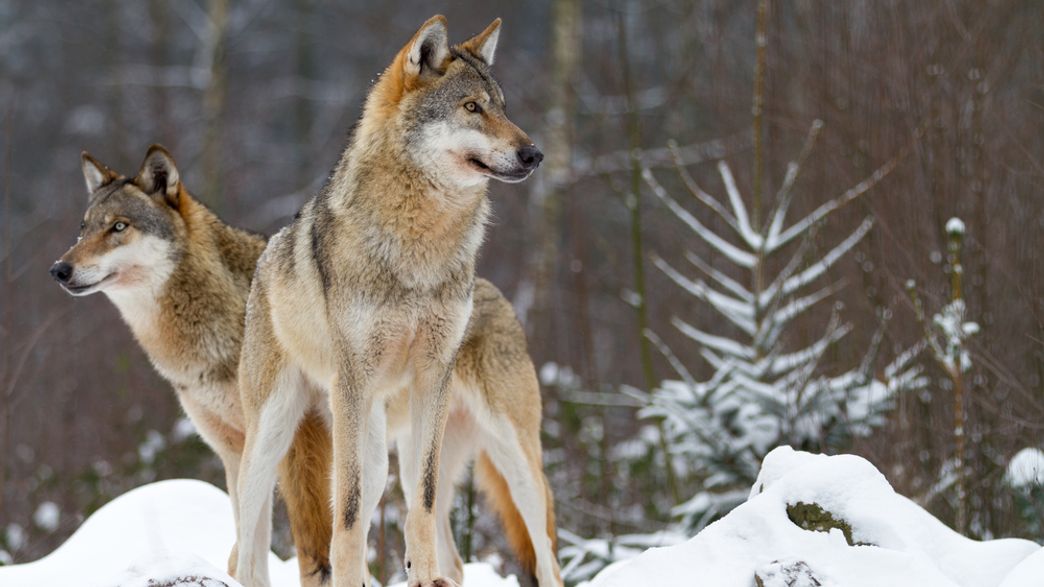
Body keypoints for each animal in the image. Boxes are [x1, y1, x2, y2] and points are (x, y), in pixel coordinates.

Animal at [49, 146, 335, 585]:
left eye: (119, 227)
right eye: (83, 229)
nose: (59, 269)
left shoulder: (299, 446)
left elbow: (310, 551)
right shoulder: (235, 452)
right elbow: (249, 547)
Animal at [233, 14, 561, 587]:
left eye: (503, 106)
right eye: (471, 107)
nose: (534, 154)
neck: (420, 246)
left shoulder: (432, 378)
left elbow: (421, 505)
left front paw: (421, 574)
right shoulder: (352, 384)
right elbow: (346, 514)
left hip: (506, 458)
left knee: (540, 555)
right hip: (283, 434)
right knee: (247, 547)